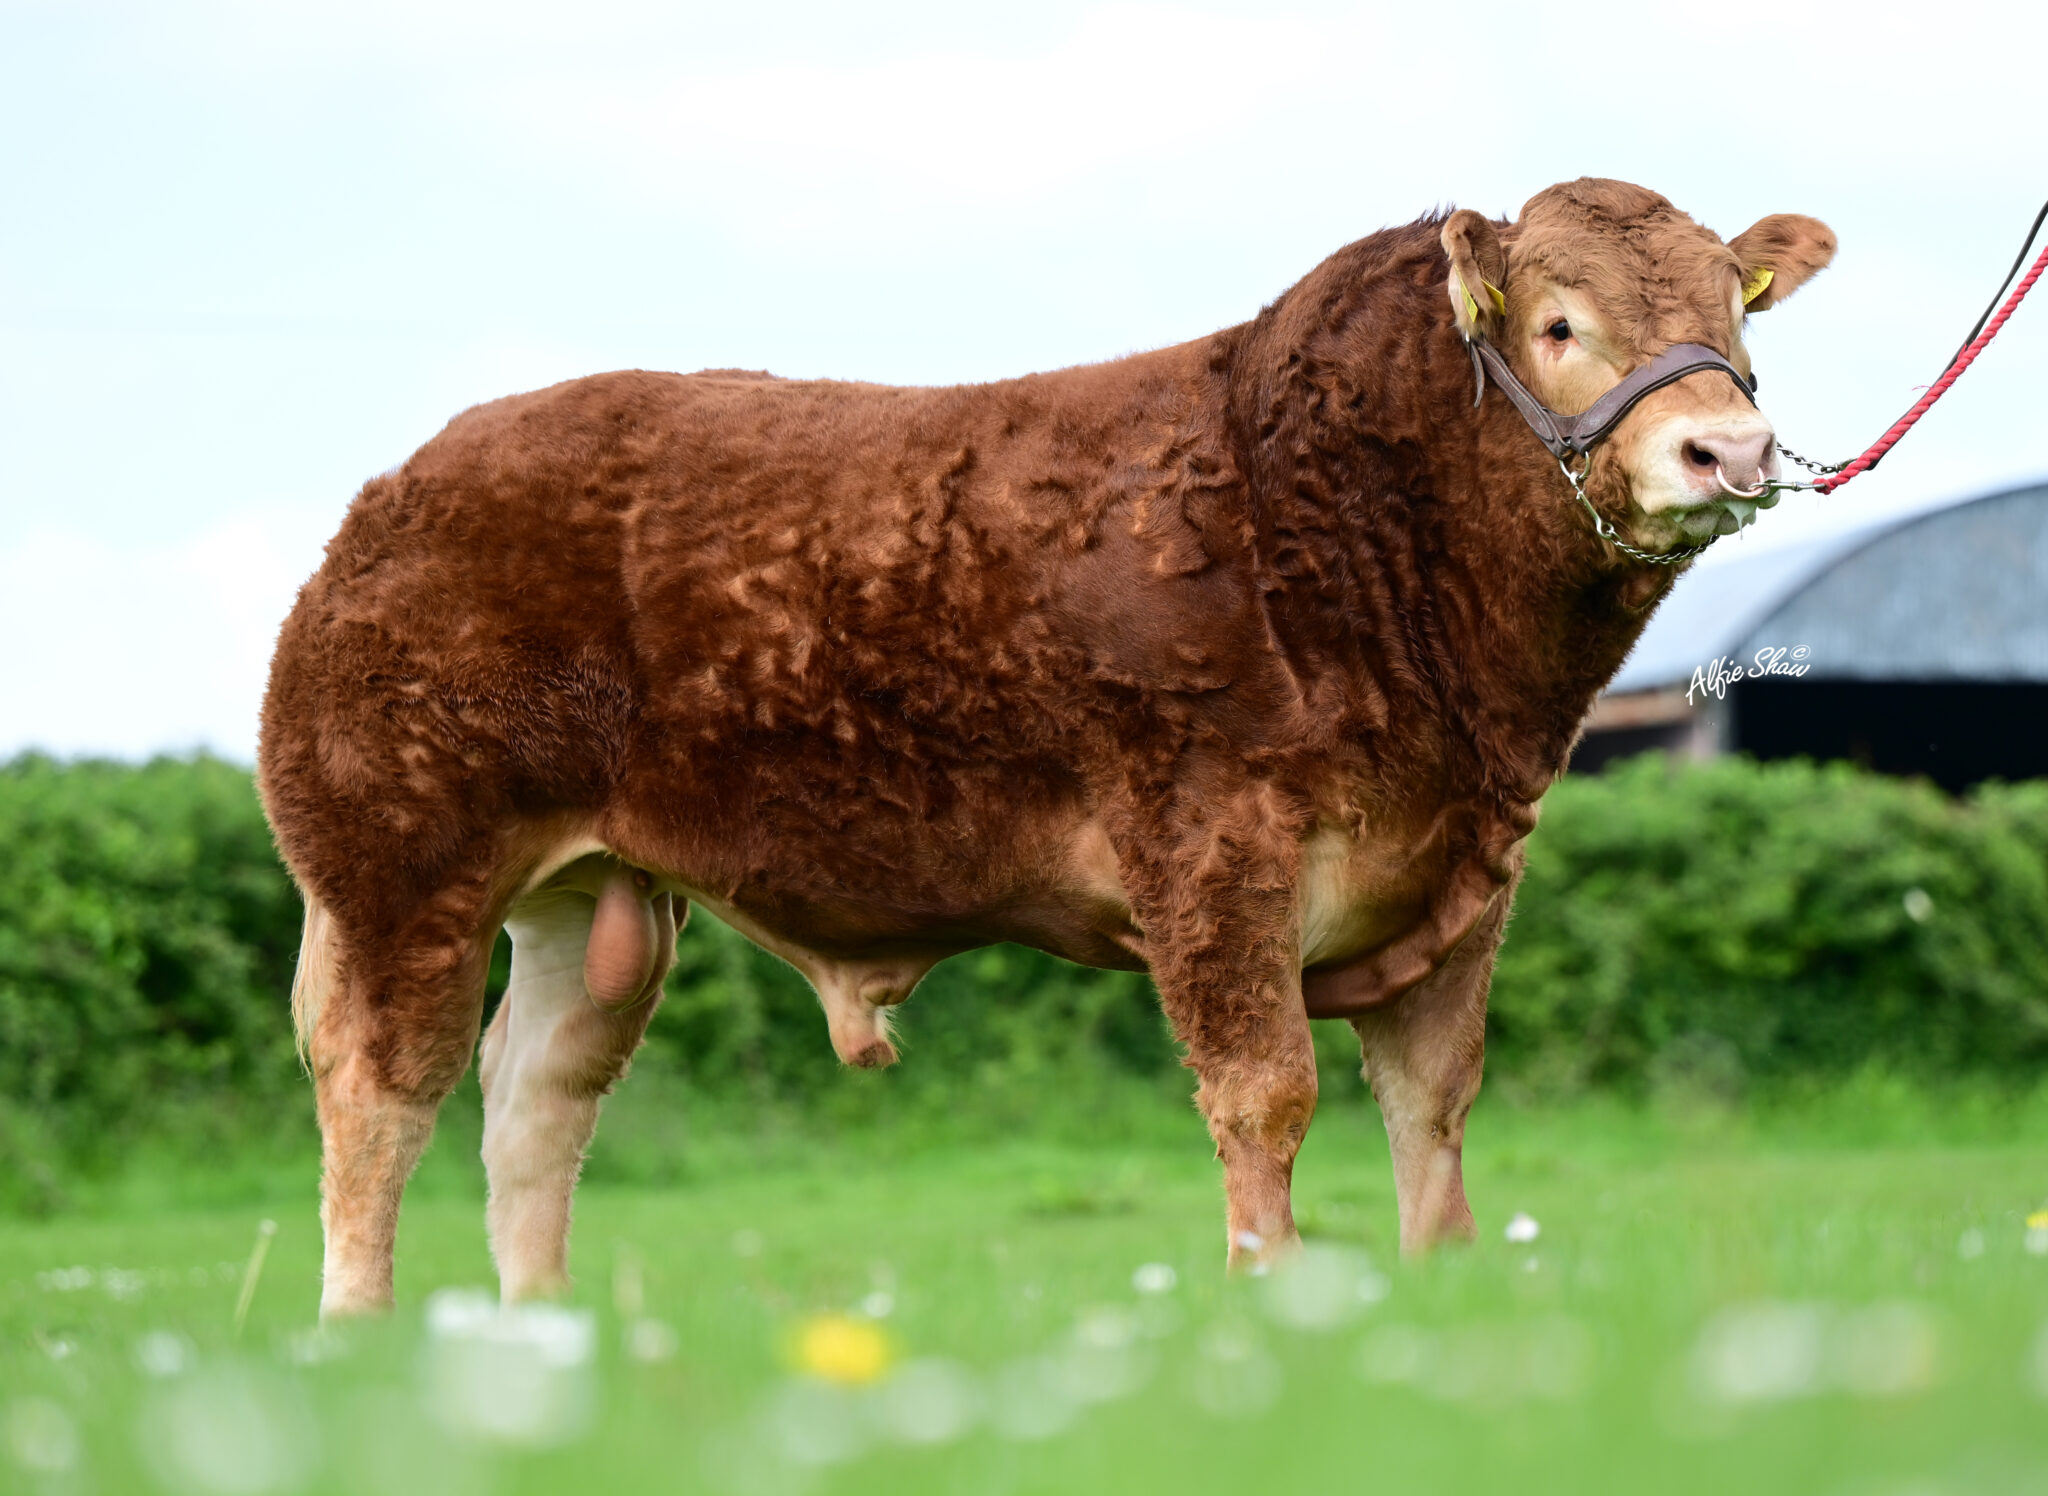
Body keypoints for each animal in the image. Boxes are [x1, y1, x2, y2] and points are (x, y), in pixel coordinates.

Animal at [259, 178, 1835, 1317]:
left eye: (1737, 315)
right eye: (1559, 325)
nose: (1727, 448)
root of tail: (395, 492)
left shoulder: (1459, 880)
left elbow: (1431, 1111)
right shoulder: (1210, 849)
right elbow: (1266, 1094)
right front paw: (1270, 1310)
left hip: (592, 902)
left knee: (532, 1102)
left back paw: (538, 1337)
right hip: (403, 868)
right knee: (382, 1095)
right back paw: (363, 1336)